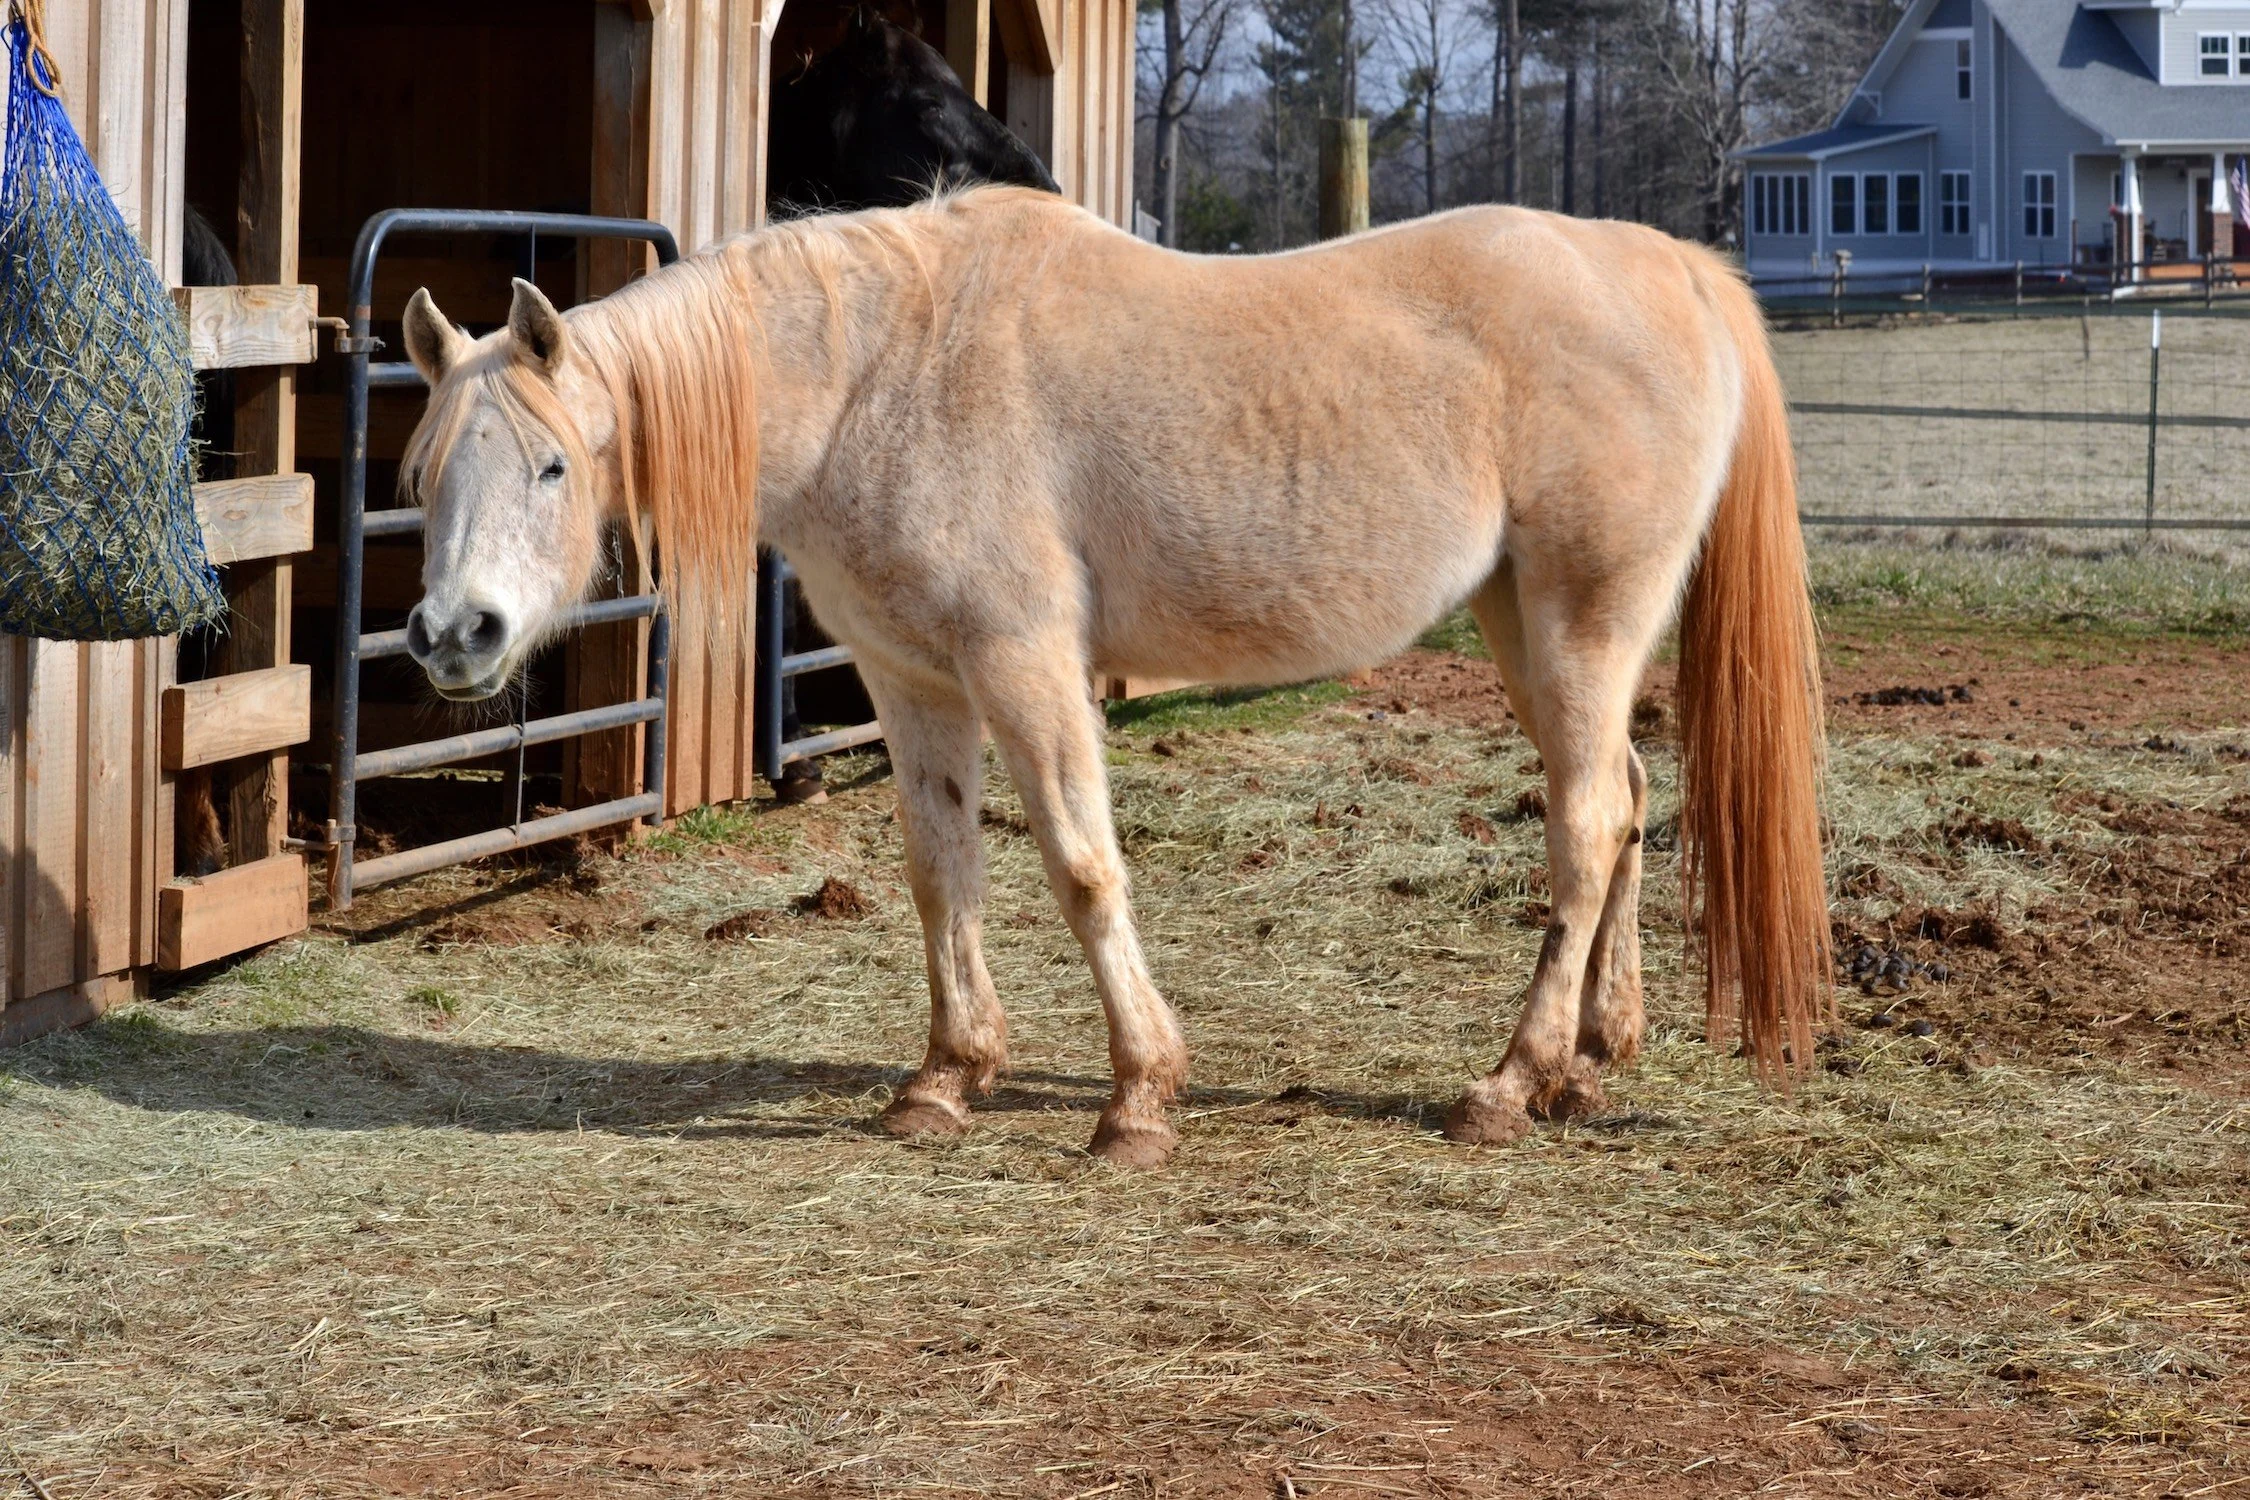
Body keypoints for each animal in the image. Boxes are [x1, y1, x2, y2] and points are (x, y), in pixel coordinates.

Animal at [392, 186, 1830, 1167]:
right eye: (423, 472)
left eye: (553, 464)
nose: (452, 635)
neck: (882, 375)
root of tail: (1673, 268)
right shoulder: (913, 681)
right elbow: (941, 872)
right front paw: (945, 1078)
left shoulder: (1025, 664)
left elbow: (1081, 868)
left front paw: (1138, 1096)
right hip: (1525, 627)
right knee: (1627, 799)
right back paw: (1590, 1059)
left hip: (1583, 621)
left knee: (1584, 824)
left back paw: (1506, 1084)